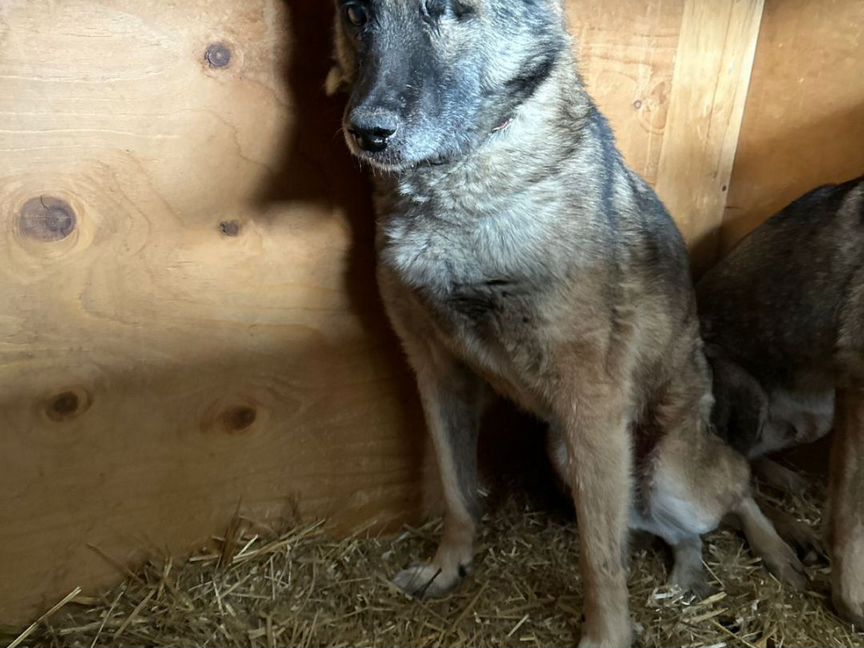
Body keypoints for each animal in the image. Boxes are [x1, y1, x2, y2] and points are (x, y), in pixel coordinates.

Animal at [328, 2, 800, 644]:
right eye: (357, 14)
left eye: (450, 10)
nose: (366, 131)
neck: (459, 186)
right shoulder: (438, 374)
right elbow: (456, 490)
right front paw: (449, 564)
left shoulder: (591, 406)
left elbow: (598, 555)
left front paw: (607, 636)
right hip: (565, 453)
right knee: (677, 535)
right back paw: (687, 580)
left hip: (661, 469)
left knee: (733, 490)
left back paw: (778, 552)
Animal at [700, 176, 864, 628]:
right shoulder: (857, 389)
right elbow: (849, 519)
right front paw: (850, 603)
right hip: (749, 395)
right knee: (733, 483)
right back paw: (781, 542)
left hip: (816, 418)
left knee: (747, 468)